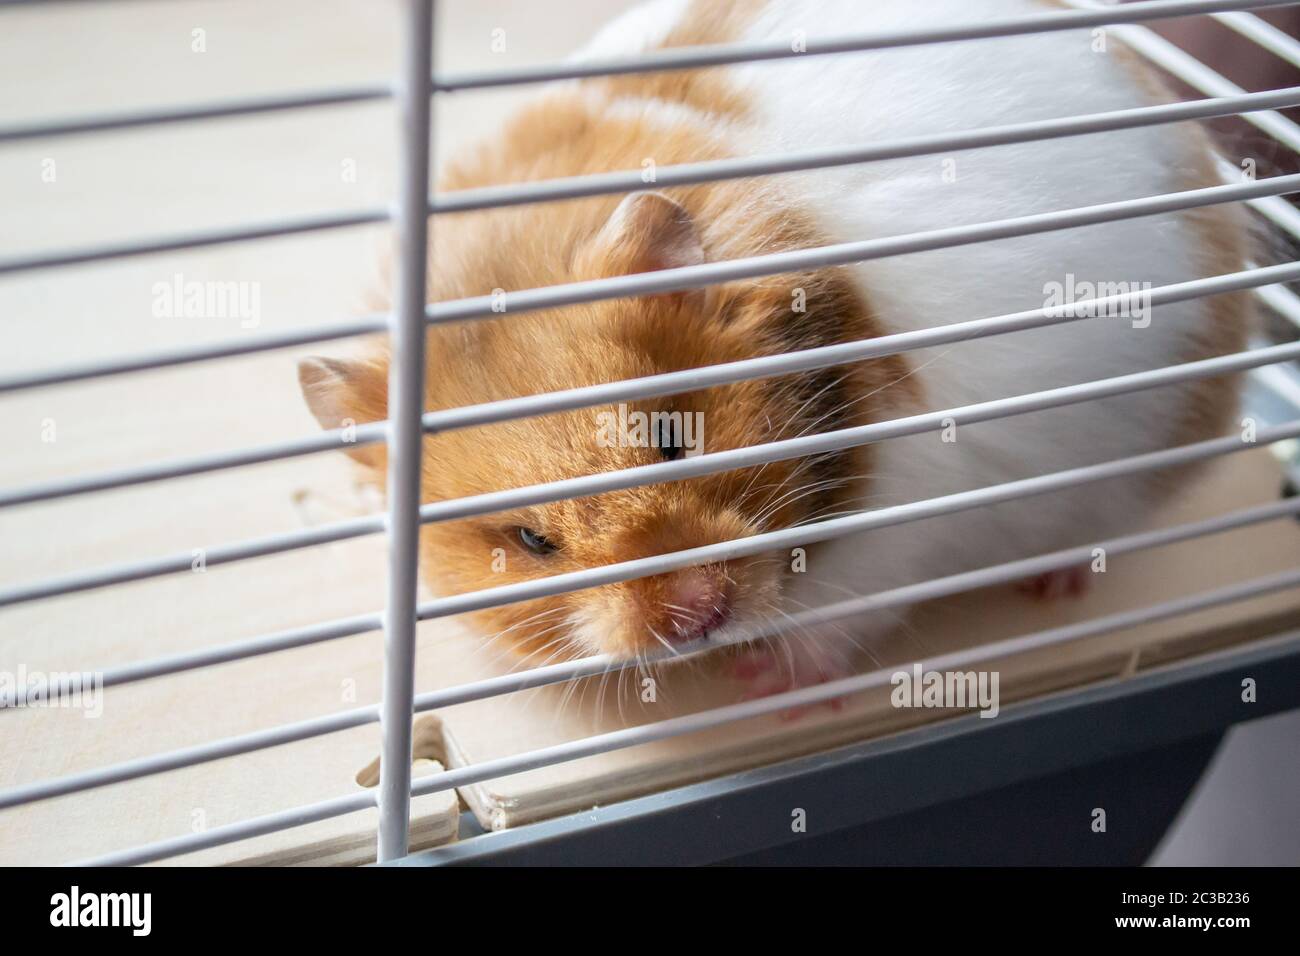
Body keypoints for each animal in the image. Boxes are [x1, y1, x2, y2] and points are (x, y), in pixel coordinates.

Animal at [299, 0, 1250, 694]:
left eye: (674, 438)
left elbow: (849, 607)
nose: (696, 615)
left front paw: (765, 682)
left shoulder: (912, 515)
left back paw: (1053, 583)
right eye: (531, 541)